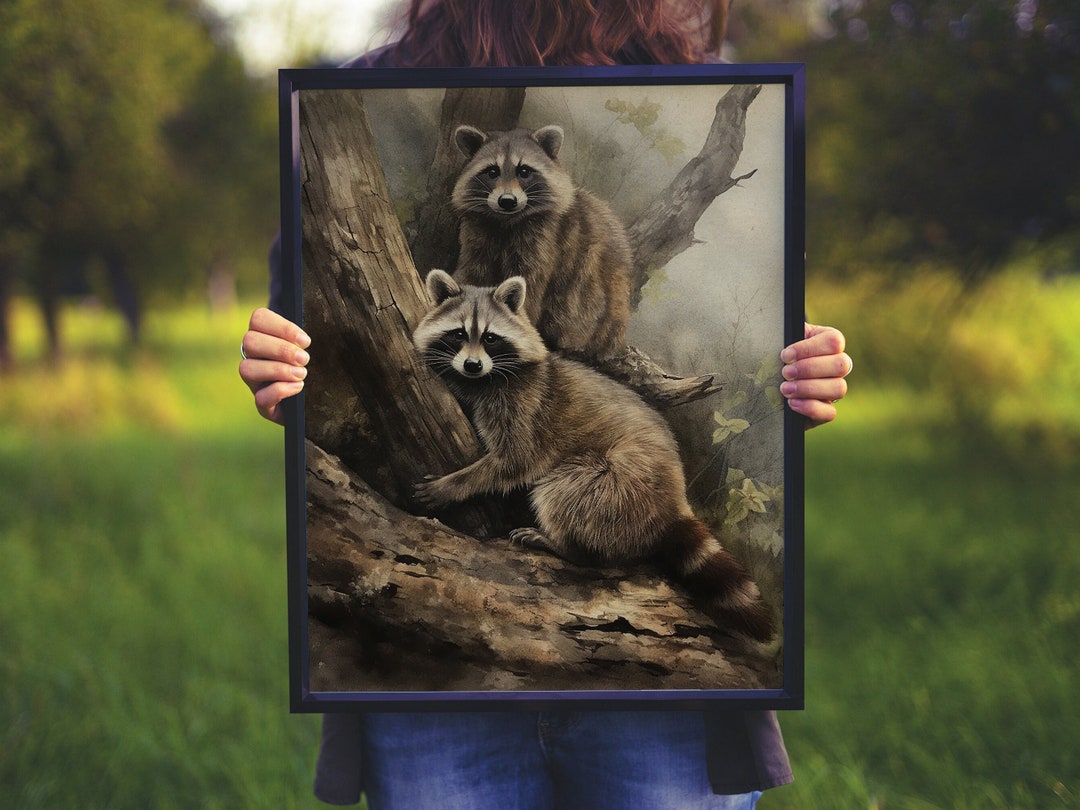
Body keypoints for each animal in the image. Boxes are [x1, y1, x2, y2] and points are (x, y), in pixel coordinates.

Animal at [412, 269, 774, 642]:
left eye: (491, 338)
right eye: (458, 334)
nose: (472, 365)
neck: (485, 379)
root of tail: (675, 499)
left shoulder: (525, 405)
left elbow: (514, 460)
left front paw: (454, 484)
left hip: (620, 482)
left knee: (562, 492)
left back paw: (562, 544)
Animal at [450, 124, 632, 362]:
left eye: (524, 171)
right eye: (492, 172)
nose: (507, 201)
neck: (506, 221)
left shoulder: (546, 239)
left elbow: (528, 286)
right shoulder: (478, 235)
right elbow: (474, 272)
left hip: (594, 296)